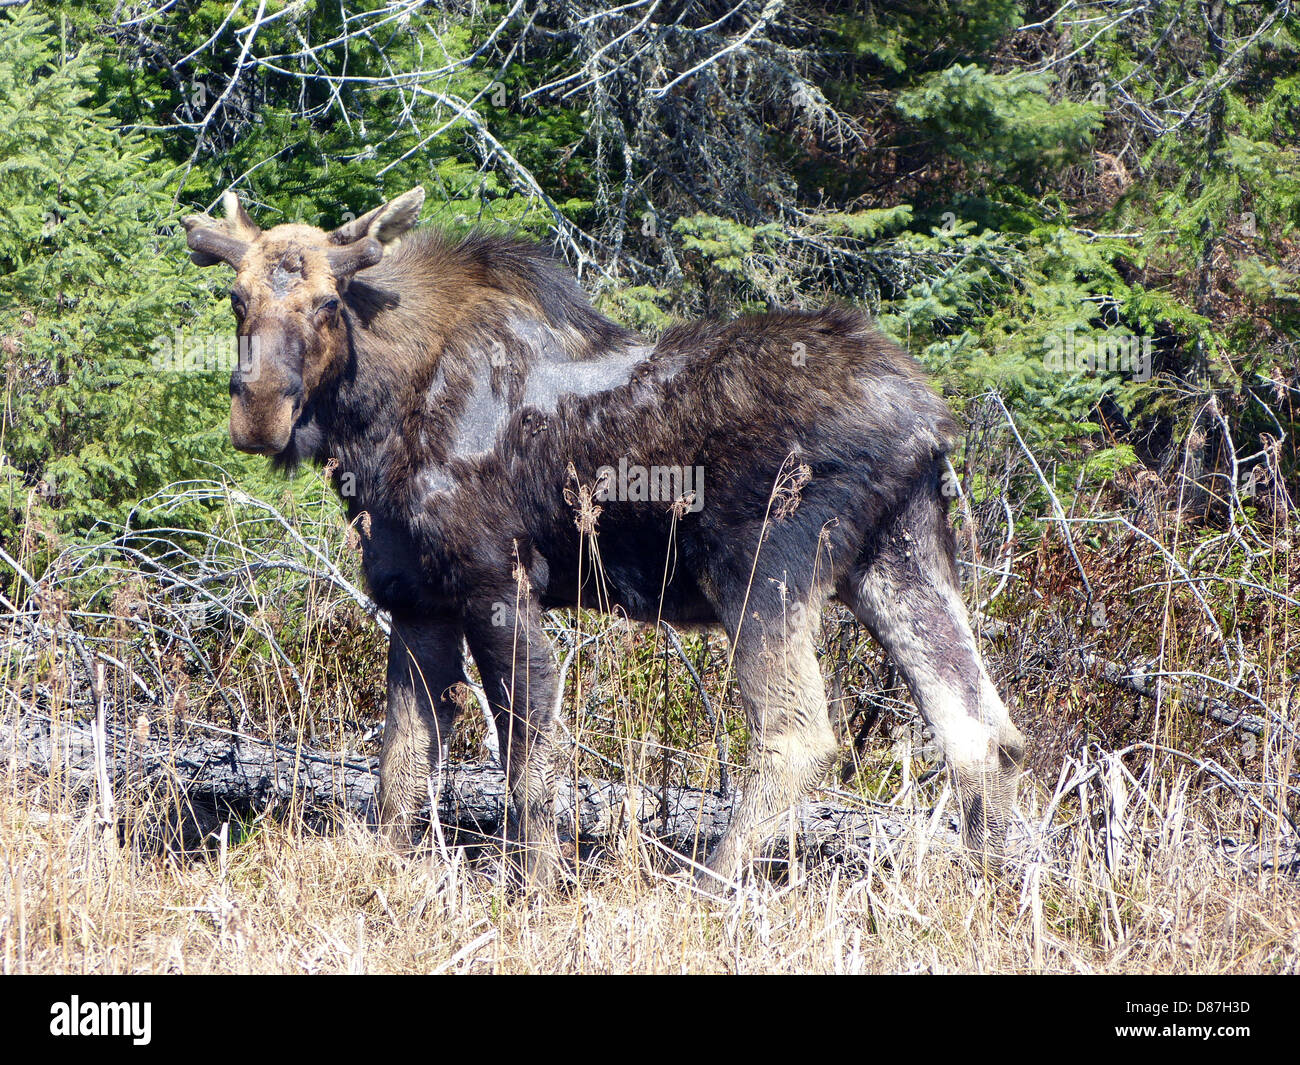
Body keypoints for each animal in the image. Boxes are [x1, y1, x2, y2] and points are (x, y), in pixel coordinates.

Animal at [182, 186, 1025, 888]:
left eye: (328, 302)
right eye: (235, 297)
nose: (258, 408)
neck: (375, 417)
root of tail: (926, 418)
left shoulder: (497, 580)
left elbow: (526, 755)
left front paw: (535, 885)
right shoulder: (416, 598)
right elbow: (402, 764)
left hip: (762, 565)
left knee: (800, 732)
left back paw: (707, 884)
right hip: (898, 559)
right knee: (981, 730)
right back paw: (991, 890)